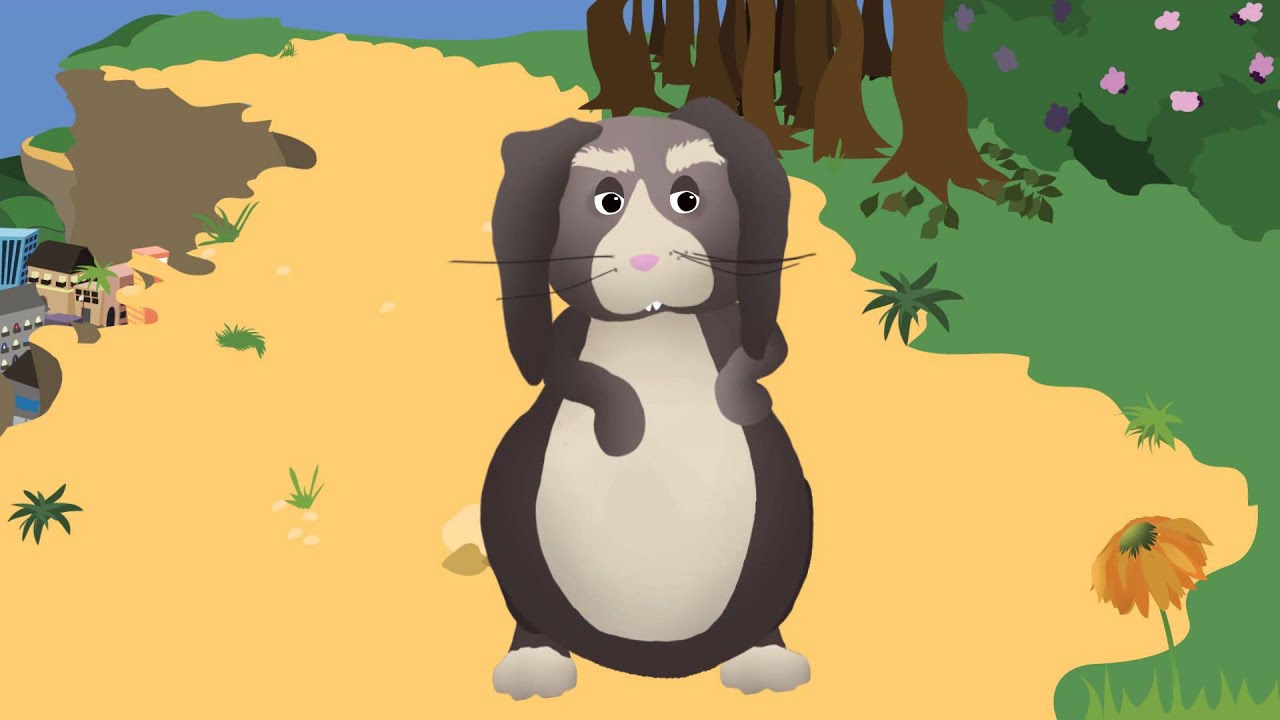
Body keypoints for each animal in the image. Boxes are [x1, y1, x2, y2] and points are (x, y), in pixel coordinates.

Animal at [479, 98, 813, 700]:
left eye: (689, 197)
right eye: (605, 199)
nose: (645, 261)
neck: (653, 330)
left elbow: (766, 353)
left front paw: (740, 402)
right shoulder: (565, 344)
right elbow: (569, 375)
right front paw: (625, 428)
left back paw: (764, 659)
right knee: (531, 614)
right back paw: (534, 664)